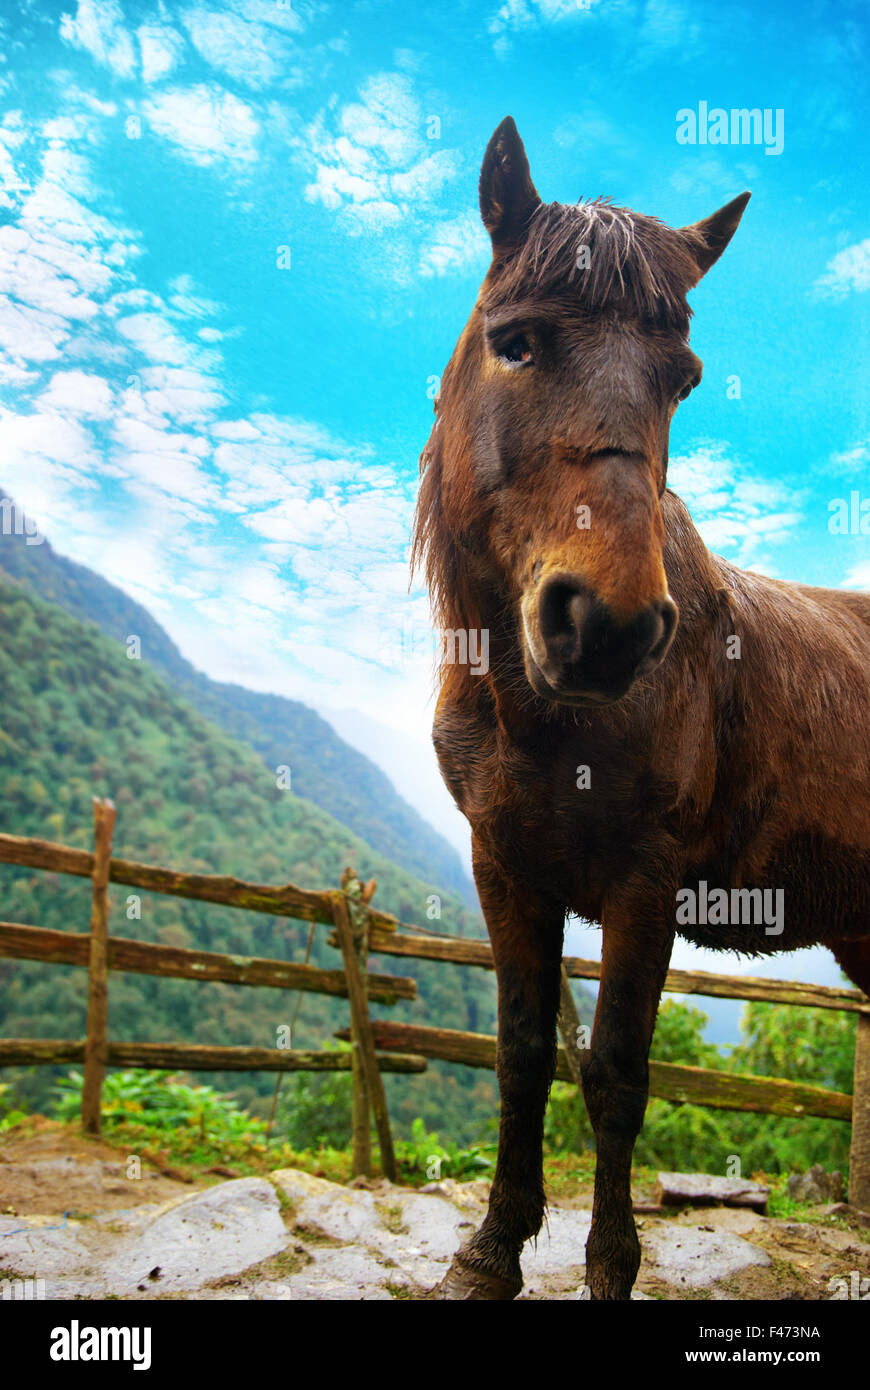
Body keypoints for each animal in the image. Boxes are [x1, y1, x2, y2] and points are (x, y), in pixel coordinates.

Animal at [412, 116, 870, 1300]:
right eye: (517, 341)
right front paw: (491, 1250)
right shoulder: (504, 865)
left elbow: (617, 1076)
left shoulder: (645, 884)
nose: (608, 627)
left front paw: (610, 1264)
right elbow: (524, 1054)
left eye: (684, 380)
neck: (538, 715)